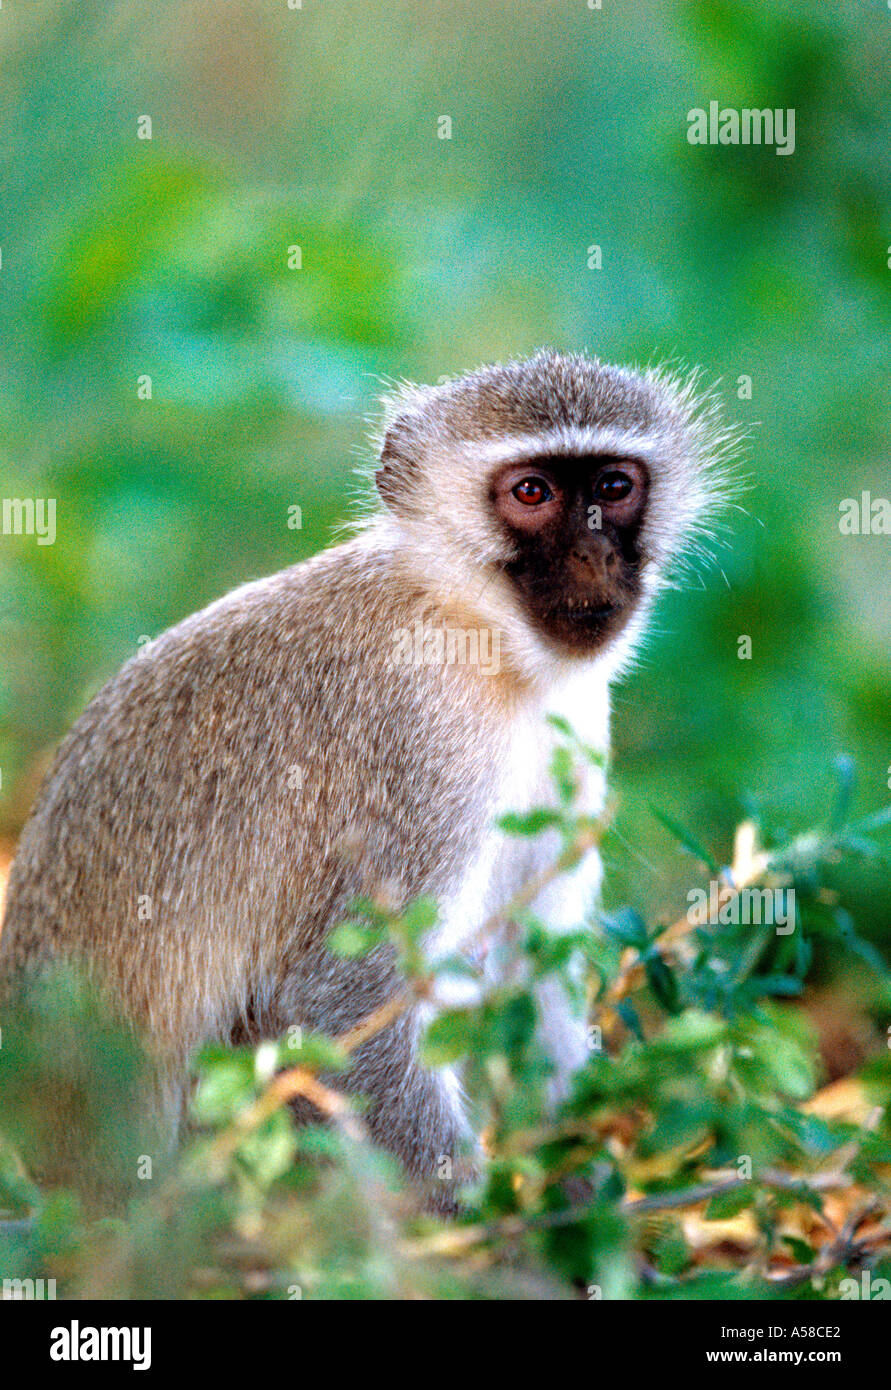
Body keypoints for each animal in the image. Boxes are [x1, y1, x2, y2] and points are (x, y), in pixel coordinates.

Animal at [0, 350, 733, 1212]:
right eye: (532, 493)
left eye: (613, 487)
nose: (595, 559)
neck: (474, 629)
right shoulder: (414, 748)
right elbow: (341, 996)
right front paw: (483, 1232)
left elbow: (535, 967)